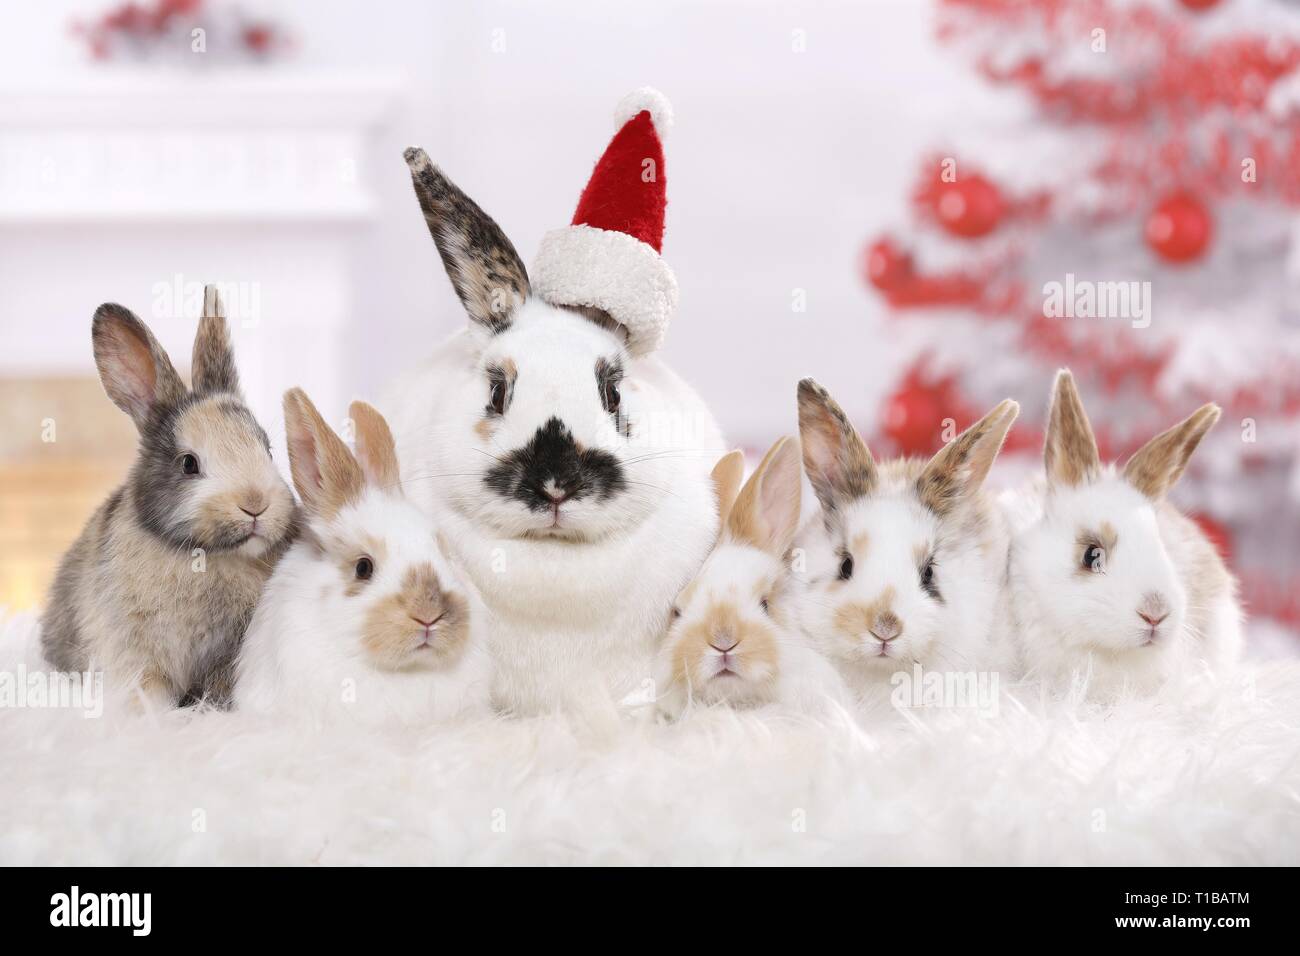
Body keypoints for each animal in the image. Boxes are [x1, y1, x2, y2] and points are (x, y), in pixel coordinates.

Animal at [40, 287, 298, 711]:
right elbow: (150, 692)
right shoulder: (138, 655)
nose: (256, 504)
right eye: (189, 464)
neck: (202, 556)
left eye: (269, 450)